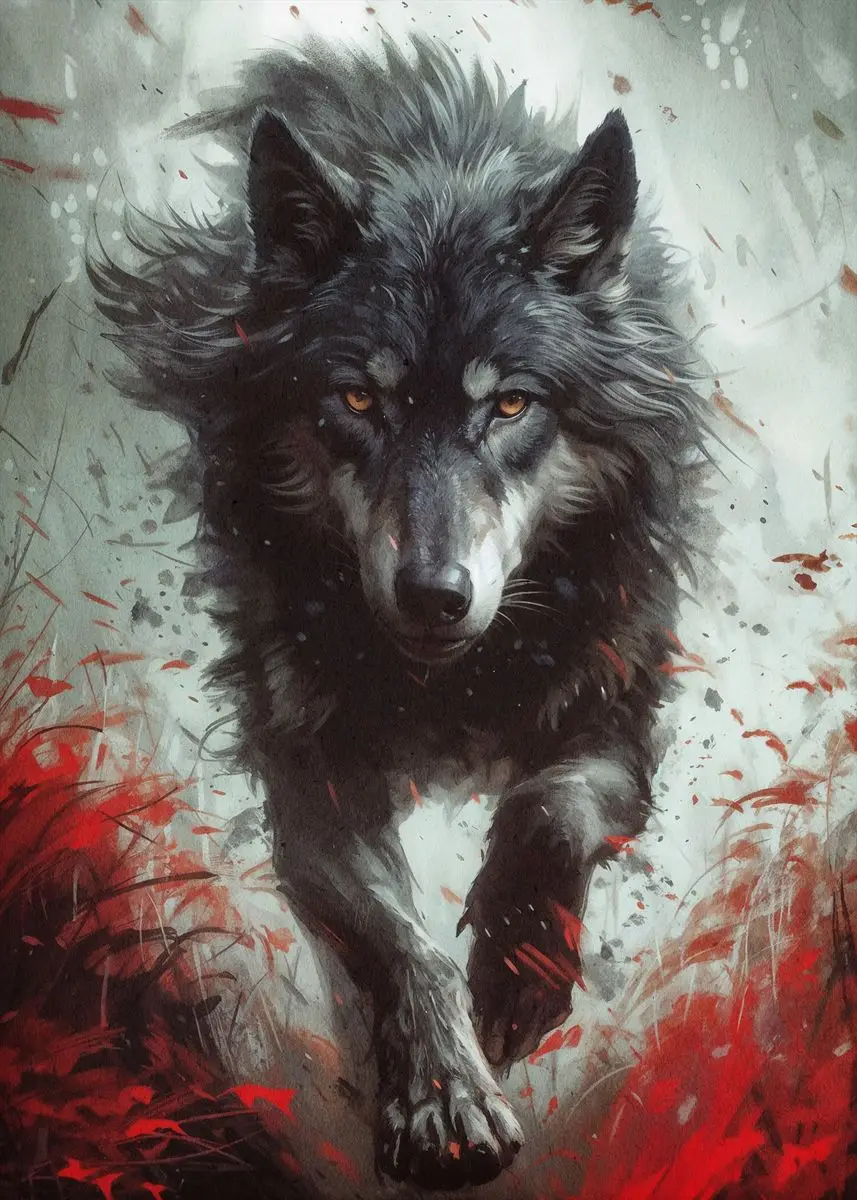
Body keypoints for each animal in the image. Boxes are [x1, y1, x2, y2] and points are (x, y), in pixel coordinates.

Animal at [90, 36, 703, 1190]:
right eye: (357, 399)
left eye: (508, 404)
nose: (432, 594)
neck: (451, 685)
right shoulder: (313, 773)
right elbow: (400, 941)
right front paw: (443, 1095)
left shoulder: (614, 707)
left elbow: (549, 805)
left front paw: (517, 961)